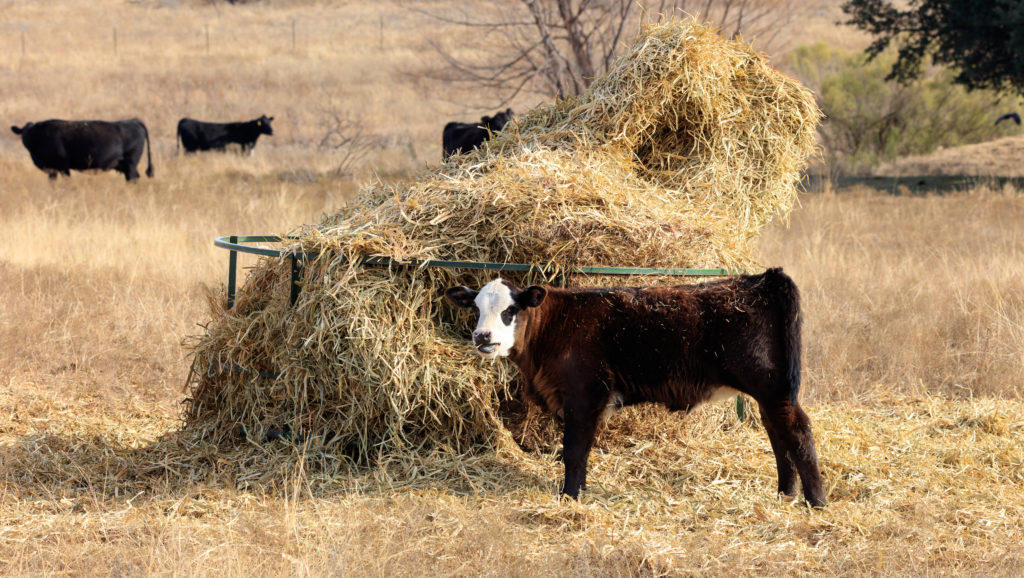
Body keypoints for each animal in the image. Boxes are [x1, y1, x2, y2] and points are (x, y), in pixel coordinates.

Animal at [10, 119, 154, 181]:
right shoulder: (52, 169)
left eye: (32, 132)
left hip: (130, 163)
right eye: (23, 132)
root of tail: (134, 121)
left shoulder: (63, 167)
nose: (27, 142)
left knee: (132, 177)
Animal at [445, 268, 826, 507]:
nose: (482, 337)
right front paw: (579, 490)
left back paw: (816, 502)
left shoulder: (583, 396)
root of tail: (764, 280)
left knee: (797, 431)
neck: (558, 326)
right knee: (778, 435)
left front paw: (569, 497)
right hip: (770, 394)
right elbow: (583, 450)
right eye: (476, 308)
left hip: (772, 388)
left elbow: (574, 450)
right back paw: (785, 494)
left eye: (510, 309)